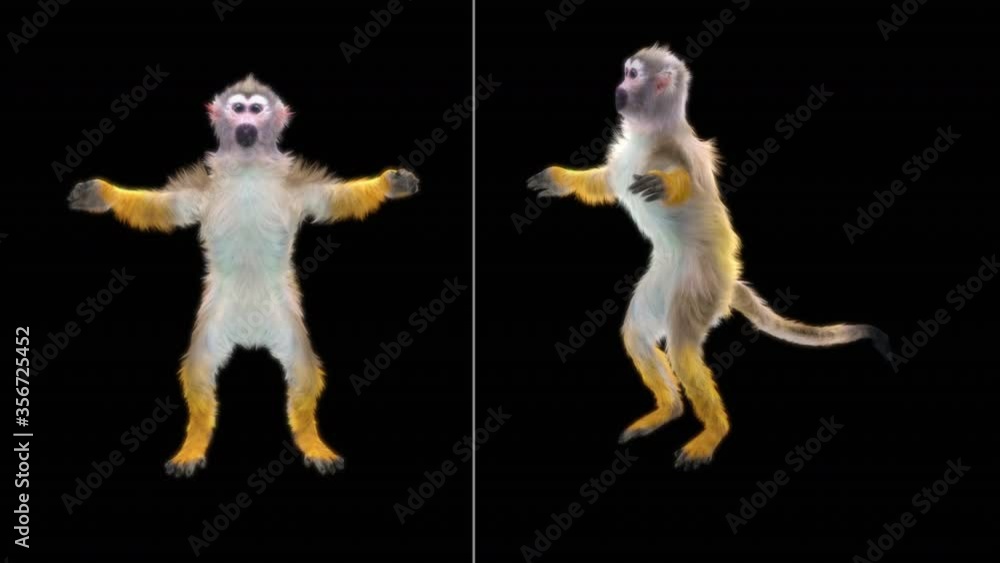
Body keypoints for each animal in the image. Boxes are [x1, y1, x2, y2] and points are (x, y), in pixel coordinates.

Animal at [68, 74, 419, 477]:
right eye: (238, 109)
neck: (249, 167)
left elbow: (335, 200)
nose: (246, 125)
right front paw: (103, 195)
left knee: (302, 372)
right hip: (217, 321)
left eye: (256, 109)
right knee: (200, 372)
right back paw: (195, 441)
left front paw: (389, 185)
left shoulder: (298, 188)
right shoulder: (202, 191)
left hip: (283, 322)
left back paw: (310, 439)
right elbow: (163, 208)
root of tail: (251, 338)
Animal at [527, 45, 889, 469]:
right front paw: (558, 178)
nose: (619, 88)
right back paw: (668, 410)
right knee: (637, 333)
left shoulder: (677, 151)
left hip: (701, 282)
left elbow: (686, 181)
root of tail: (728, 280)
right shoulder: (625, 162)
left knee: (683, 347)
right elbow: (603, 182)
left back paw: (714, 431)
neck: (650, 133)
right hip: (667, 278)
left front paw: (670, 184)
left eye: (632, 75)